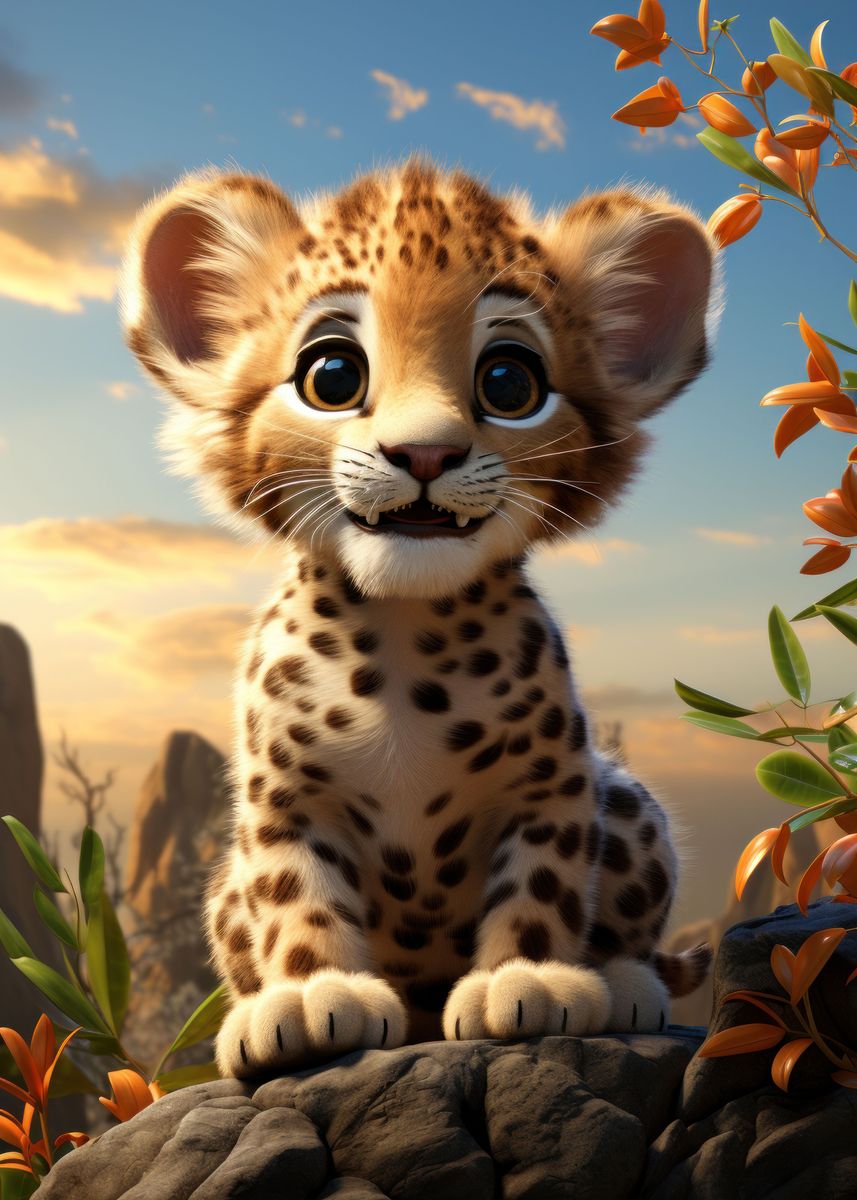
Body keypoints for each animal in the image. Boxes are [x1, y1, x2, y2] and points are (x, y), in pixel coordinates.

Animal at [121, 158, 716, 1078]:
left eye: (509, 382)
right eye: (332, 375)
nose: (425, 452)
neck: (401, 638)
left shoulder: (549, 784)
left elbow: (542, 879)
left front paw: (525, 979)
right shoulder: (284, 801)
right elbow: (295, 897)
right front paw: (310, 998)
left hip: (630, 805)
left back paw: (620, 982)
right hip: (222, 880)